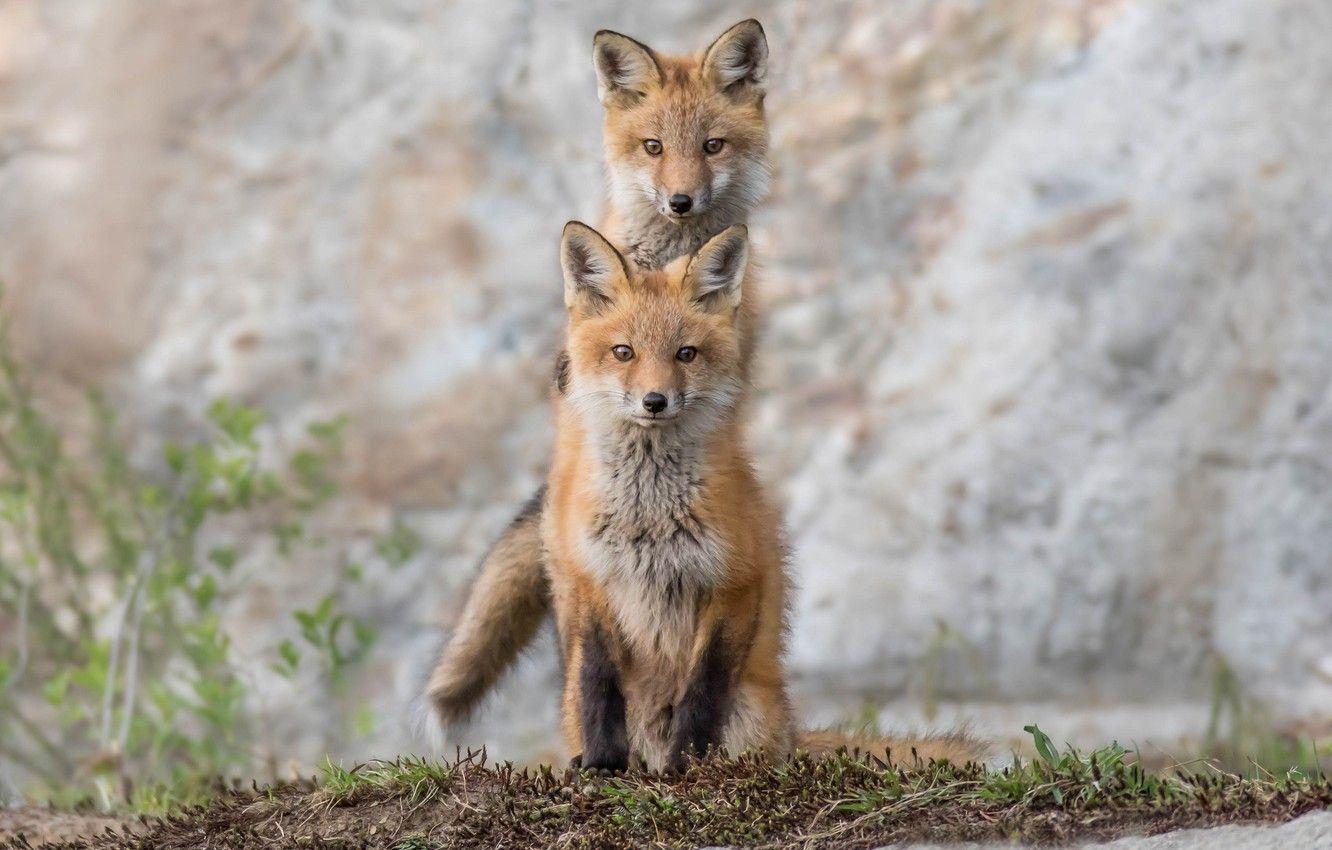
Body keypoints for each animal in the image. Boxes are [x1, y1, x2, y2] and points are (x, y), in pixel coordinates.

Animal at [547, 222, 985, 771]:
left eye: (686, 353)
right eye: (623, 352)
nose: (655, 401)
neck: (649, 517)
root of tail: (791, 735)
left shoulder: (736, 582)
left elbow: (702, 691)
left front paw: (688, 767)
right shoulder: (591, 582)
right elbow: (597, 685)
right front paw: (603, 765)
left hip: (752, 709)